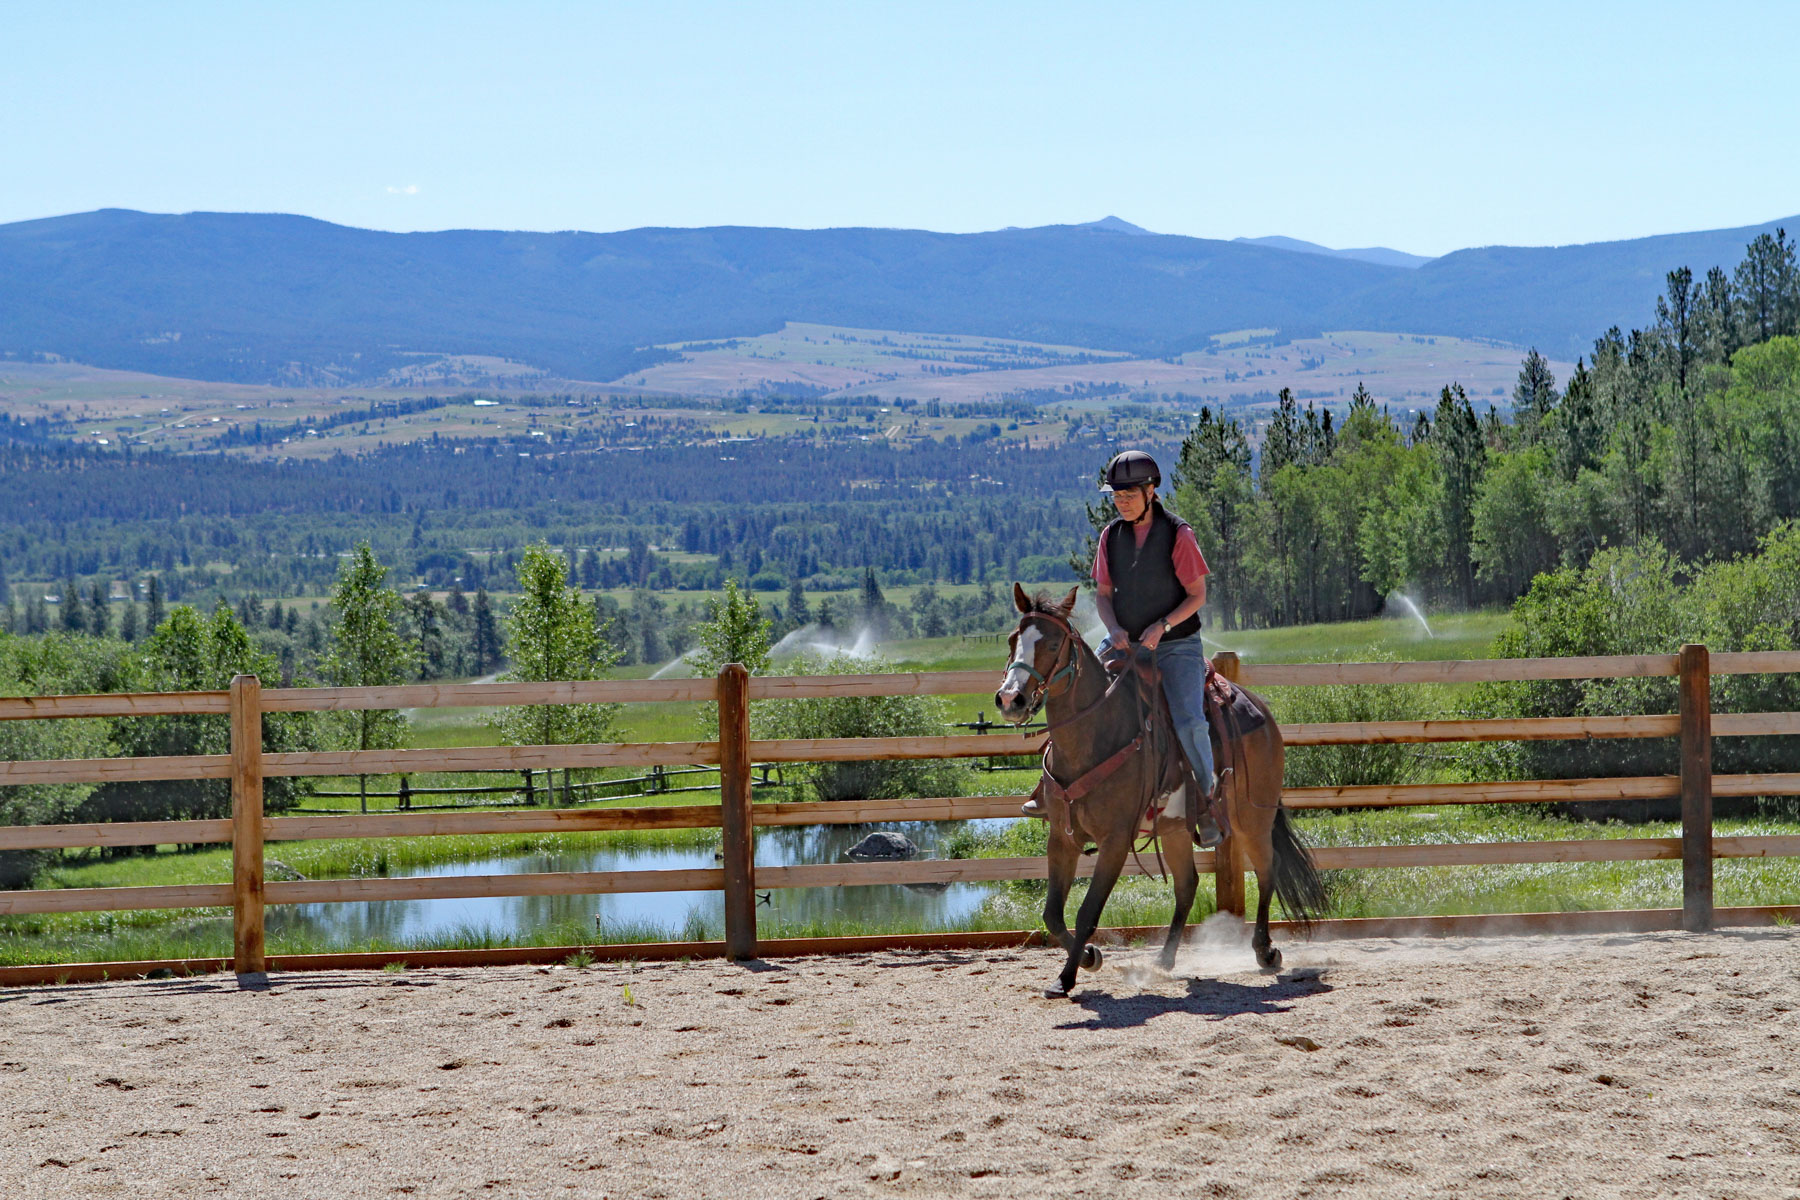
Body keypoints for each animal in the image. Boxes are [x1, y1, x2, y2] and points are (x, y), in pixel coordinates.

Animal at [994, 585, 1325, 999]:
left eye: (1053, 643)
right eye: (1012, 640)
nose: (1011, 699)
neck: (1095, 736)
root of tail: (1259, 709)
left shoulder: (1115, 840)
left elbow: (1087, 911)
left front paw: (1065, 977)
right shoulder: (1061, 837)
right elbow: (1053, 913)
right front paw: (1088, 957)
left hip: (1253, 817)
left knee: (1268, 869)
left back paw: (1264, 950)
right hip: (1175, 828)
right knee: (1187, 885)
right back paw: (1165, 959)